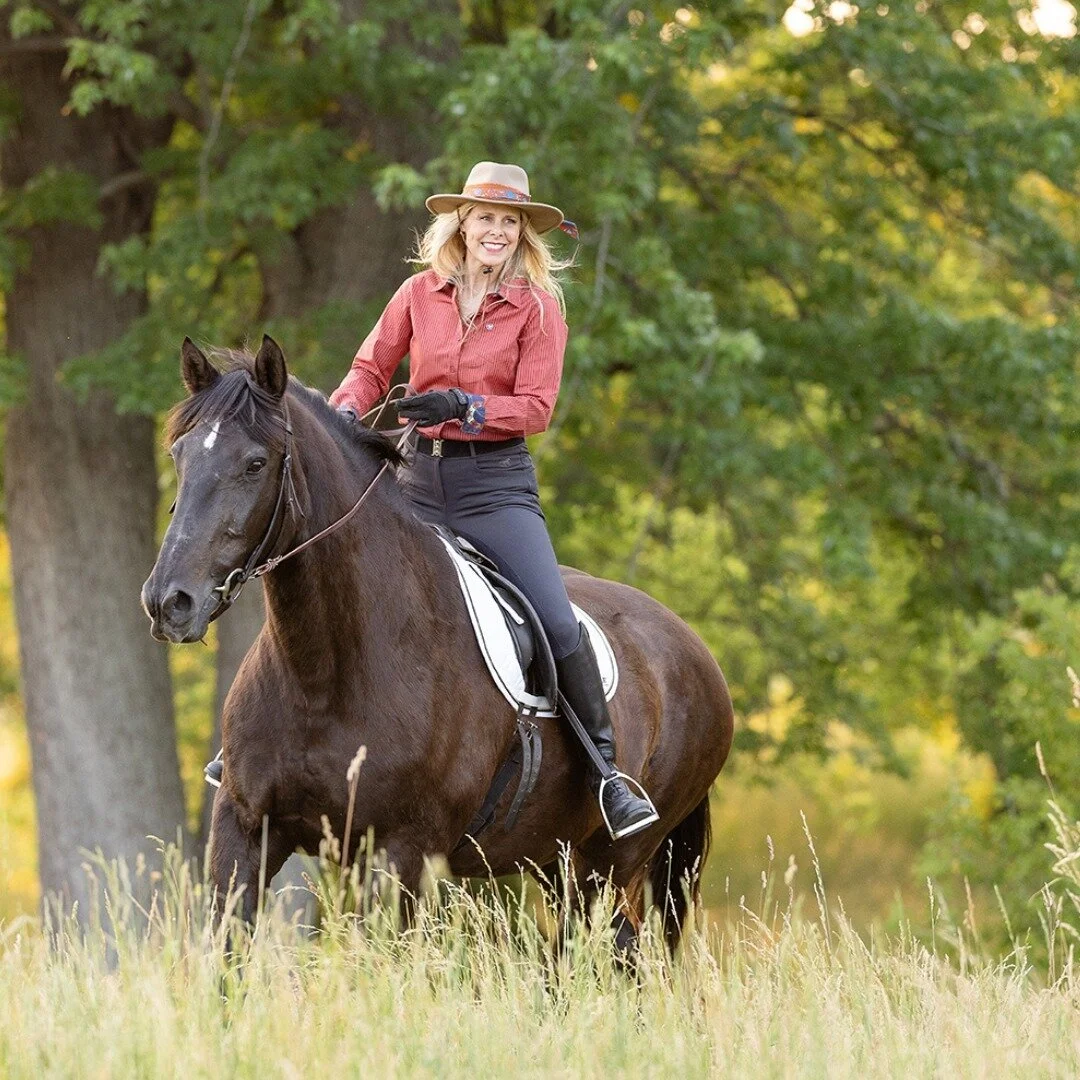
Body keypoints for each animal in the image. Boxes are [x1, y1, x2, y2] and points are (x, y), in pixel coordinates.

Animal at [141, 336, 734, 952]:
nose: (169, 602)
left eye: (255, 463)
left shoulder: (399, 854)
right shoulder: (244, 830)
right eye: (178, 457)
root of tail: (693, 650)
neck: (325, 673)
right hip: (556, 865)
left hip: (605, 868)